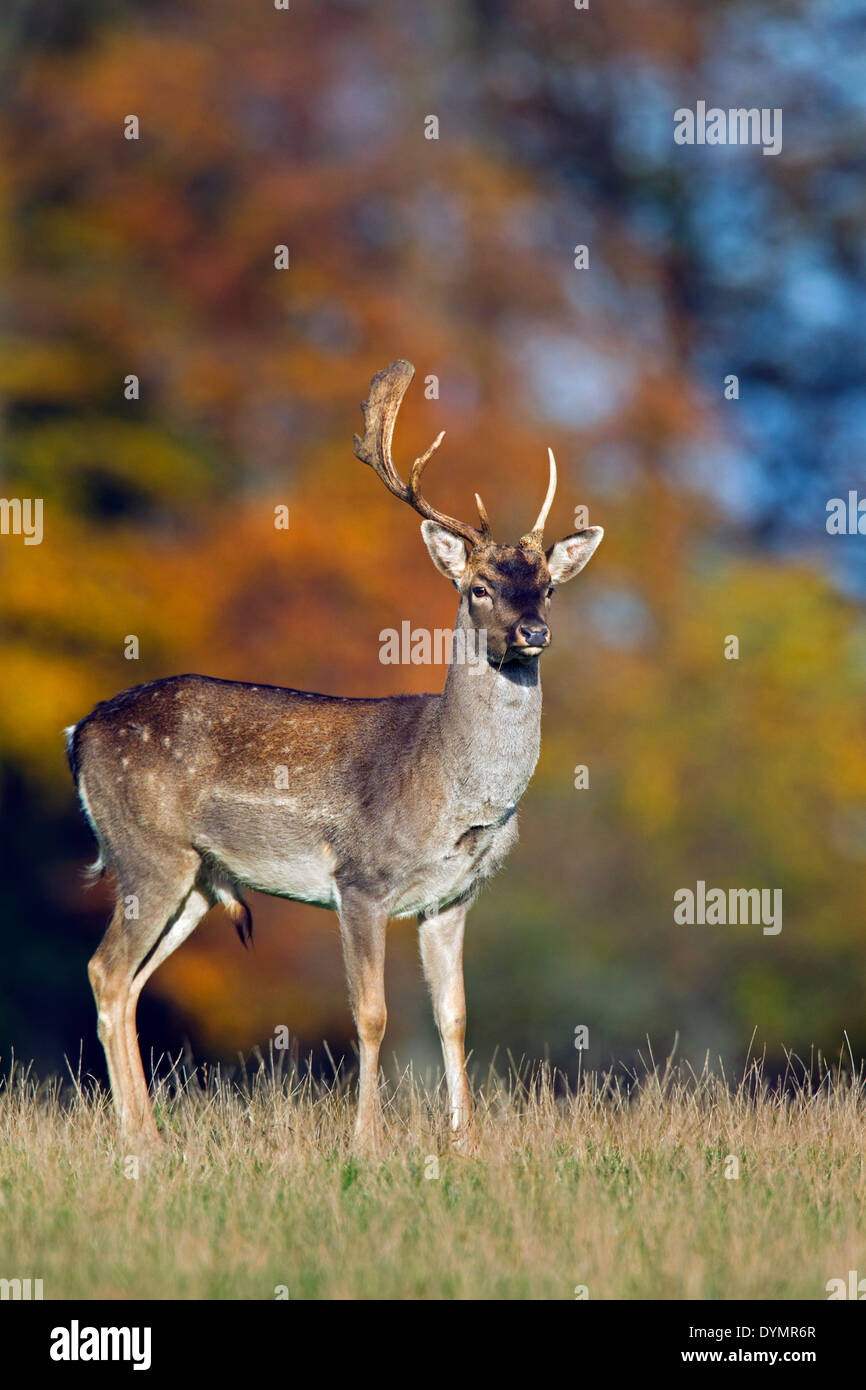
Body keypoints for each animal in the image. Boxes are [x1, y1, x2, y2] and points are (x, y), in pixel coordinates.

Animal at [66, 360, 603, 1154]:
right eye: (479, 587)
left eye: (550, 588)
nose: (533, 632)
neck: (453, 791)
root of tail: (78, 733)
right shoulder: (360, 879)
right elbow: (372, 1014)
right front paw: (366, 1142)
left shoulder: (454, 897)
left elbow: (454, 1016)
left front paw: (466, 1143)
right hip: (146, 852)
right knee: (105, 971)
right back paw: (140, 1142)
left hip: (197, 879)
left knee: (130, 983)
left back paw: (151, 1136)